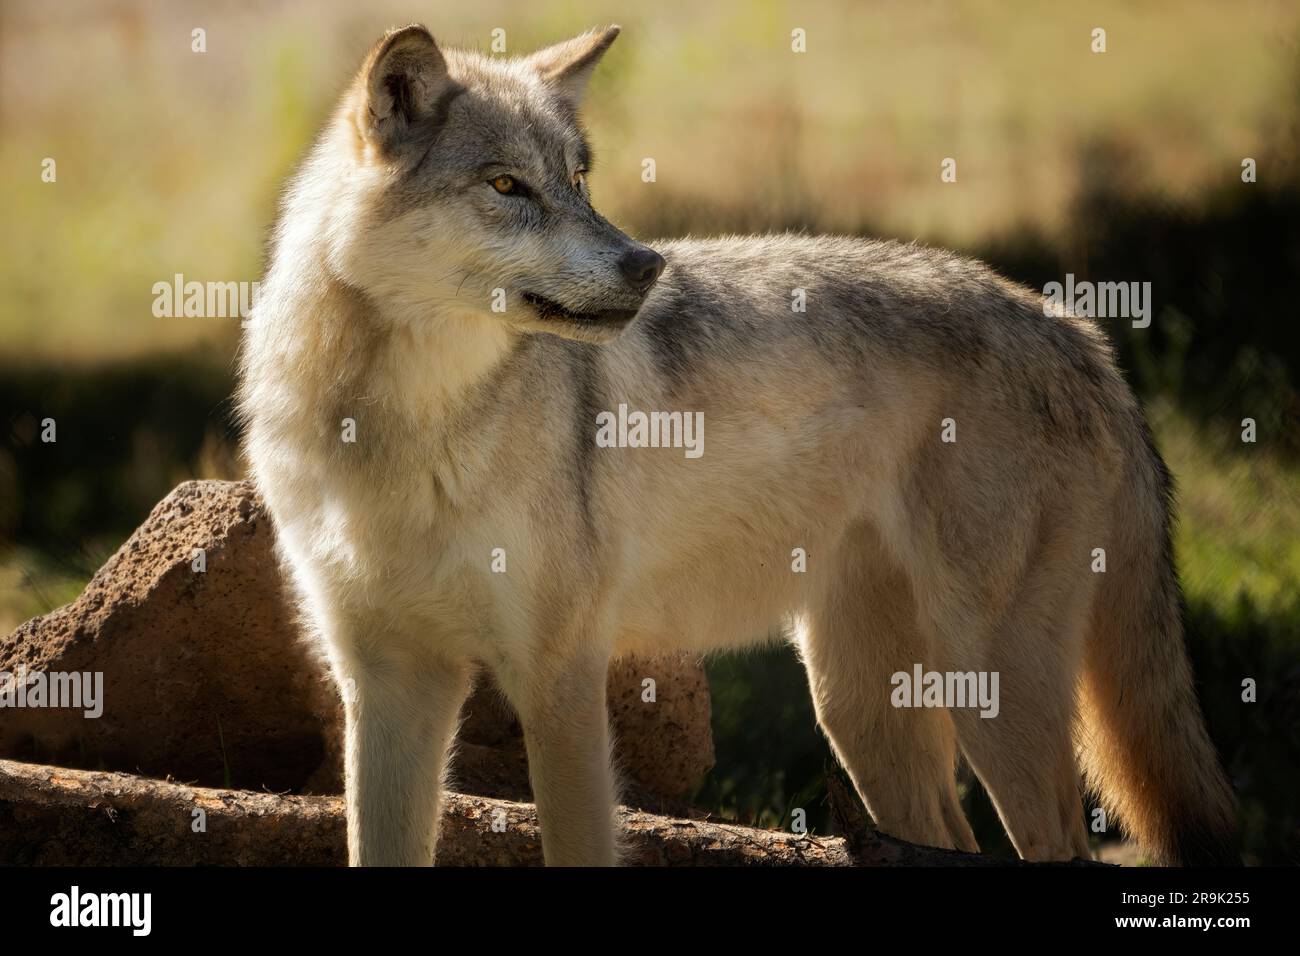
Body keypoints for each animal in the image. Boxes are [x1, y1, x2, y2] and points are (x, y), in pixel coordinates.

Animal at [237, 23, 1239, 866]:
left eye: (578, 181)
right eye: (506, 187)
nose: (646, 265)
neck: (397, 428)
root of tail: (1077, 329)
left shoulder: (560, 679)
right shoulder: (387, 687)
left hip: (984, 694)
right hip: (863, 710)